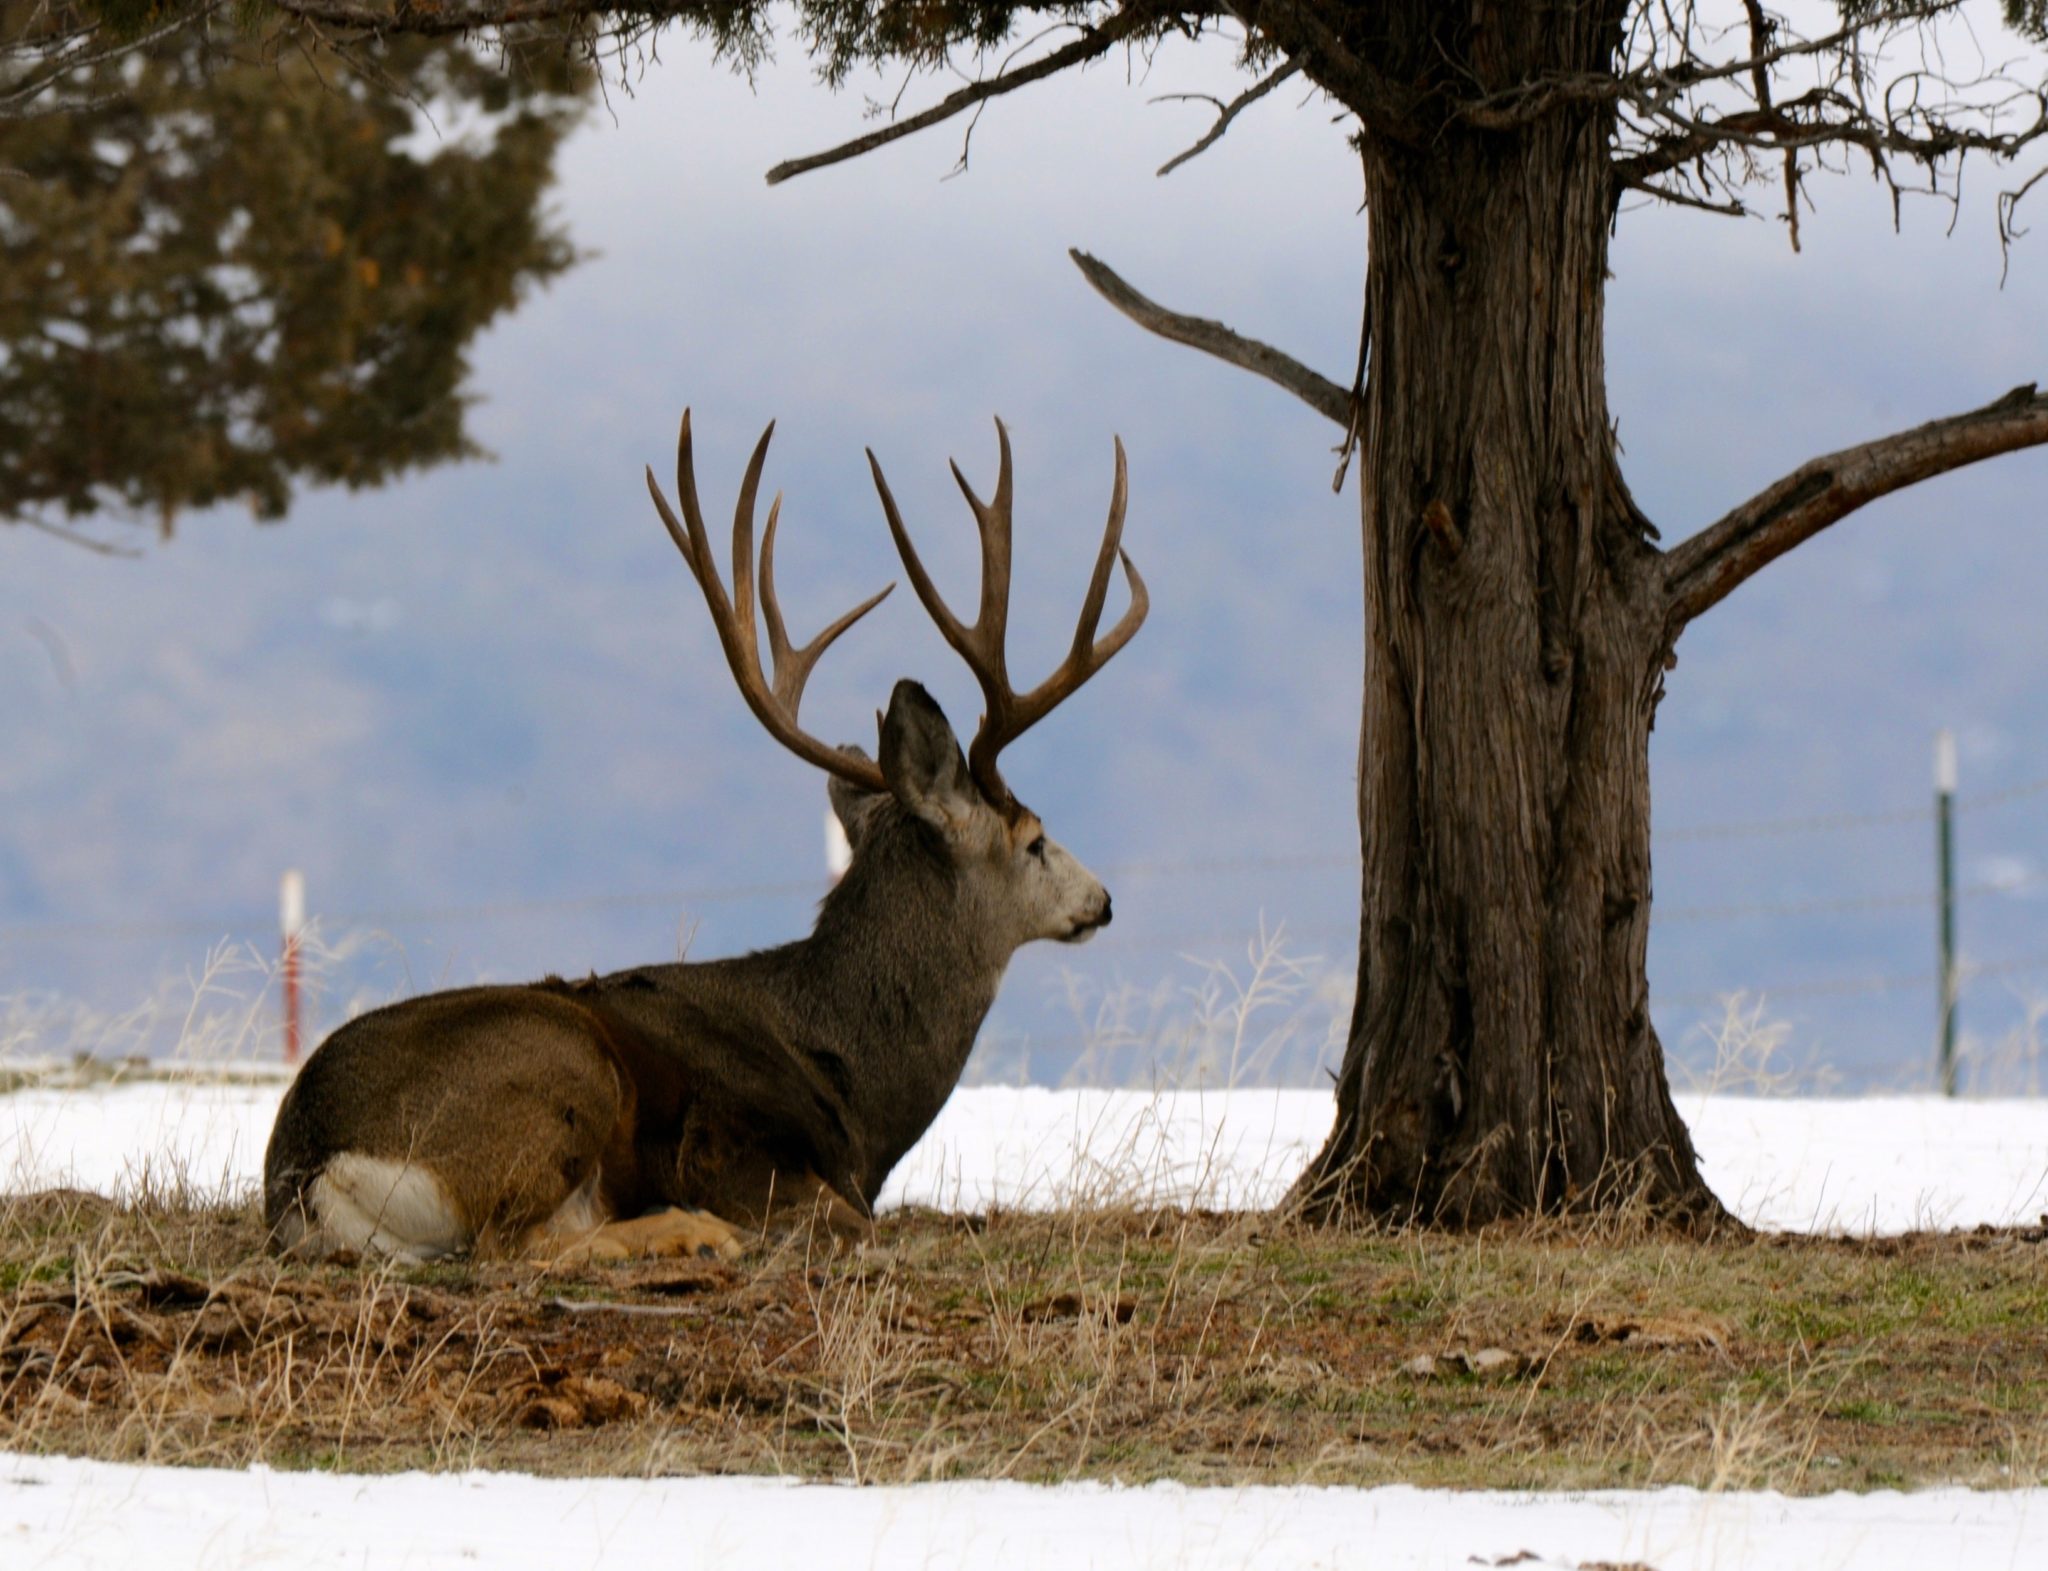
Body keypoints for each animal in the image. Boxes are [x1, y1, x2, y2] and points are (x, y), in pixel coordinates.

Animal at [262, 409, 1147, 1266]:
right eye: (1034, 837)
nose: (1104, 900)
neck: (849, 1074)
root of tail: (304, 1172)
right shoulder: (747, 1160)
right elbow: (851, 1222)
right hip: (559, 1067)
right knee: (510, 1245)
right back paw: (691, 1232)